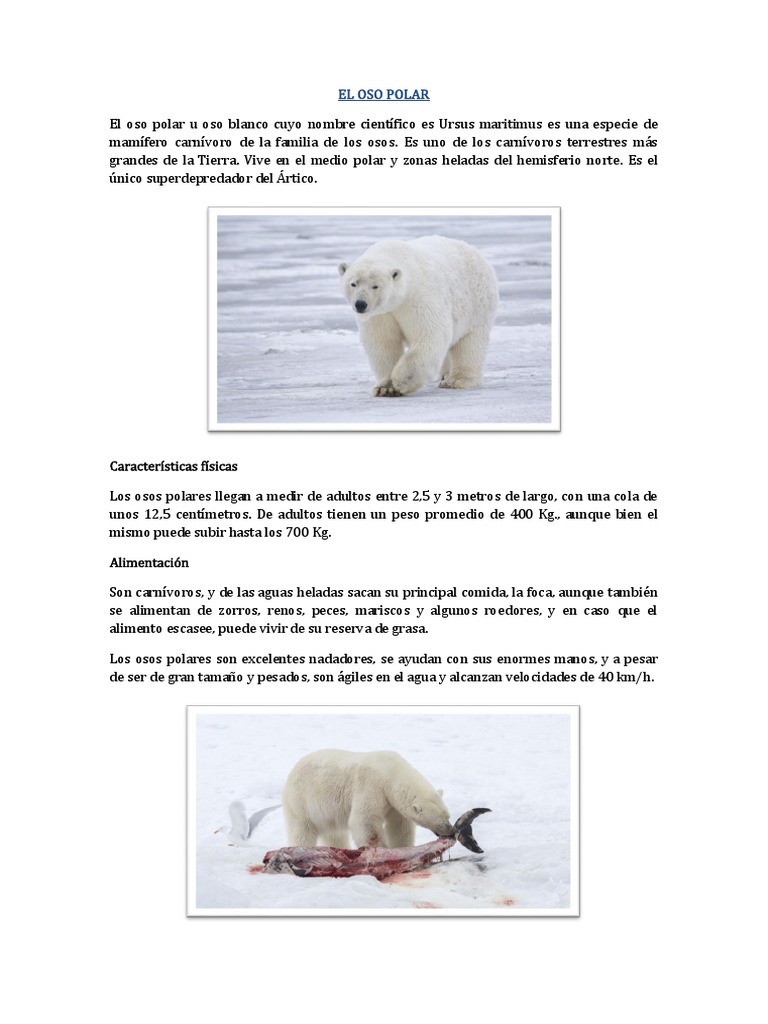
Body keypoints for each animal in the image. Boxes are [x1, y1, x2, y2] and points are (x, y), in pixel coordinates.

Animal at [282, 748, 452, 849]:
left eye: (448, 816)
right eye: (439, 821)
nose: (451, 830)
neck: (390, 771)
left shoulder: (392, 804)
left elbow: (399, 826)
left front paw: (403, 848)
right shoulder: (371, 786)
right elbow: (365, 820)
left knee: (335, 835)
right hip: (301, 801)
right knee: (302, 831)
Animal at [338, 235, 498, 397]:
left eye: (375, 286)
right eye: (353, 283)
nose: (360, 304)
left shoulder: (418, 298)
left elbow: (430, 333)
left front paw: (402, 380)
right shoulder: (380, 315)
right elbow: (383, 343)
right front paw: (385, 388)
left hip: (477, 304)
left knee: (469, 343)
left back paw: (456, 380)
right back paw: (445, 374)